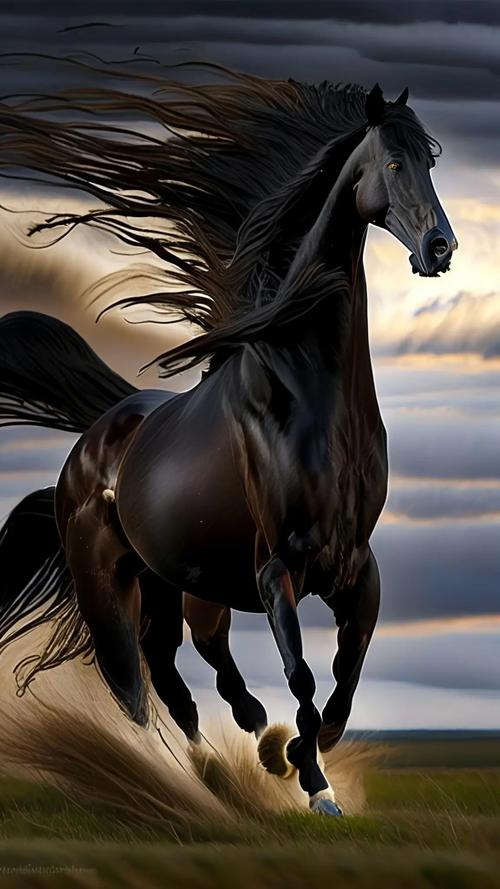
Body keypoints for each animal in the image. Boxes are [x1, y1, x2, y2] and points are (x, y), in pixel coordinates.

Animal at [0, 68, 456, 815]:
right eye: (394, 162)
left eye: (432, 161)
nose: (440, 248)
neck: (312, 399)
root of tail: (92, 442)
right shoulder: (277, 571)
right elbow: (303, 677)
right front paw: (312, 784)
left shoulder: (356, 568)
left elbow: (345, 678)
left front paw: (298, 753)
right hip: (109, 586)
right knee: (137, 687)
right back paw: (199, 773)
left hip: (175, 583)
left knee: (181, 667)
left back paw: (232, 750)